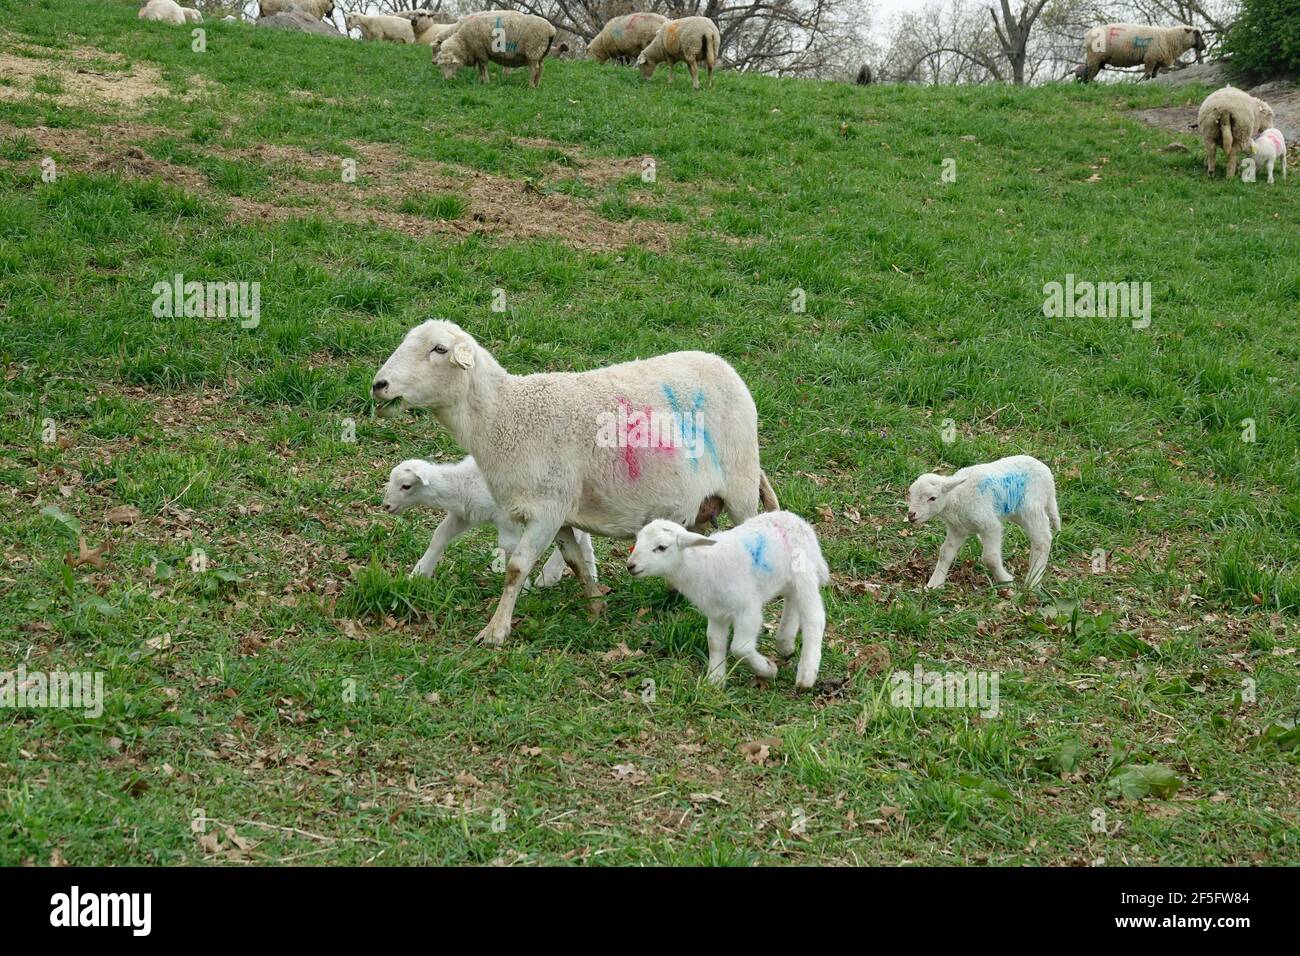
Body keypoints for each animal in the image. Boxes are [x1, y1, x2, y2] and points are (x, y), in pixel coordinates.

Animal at [383, 457, 596, 590]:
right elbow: (439, 536)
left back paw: (549, 575)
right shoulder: (463, 515)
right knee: (583, 537)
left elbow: (509, 545)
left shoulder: (504, 517)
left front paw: (523, 588)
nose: (386, 505)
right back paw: (591, 577)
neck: (463, 484)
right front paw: (418, 573)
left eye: (406, 486)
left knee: (577, 535)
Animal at [627, 512, 829, 690]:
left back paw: (806, 675)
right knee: (792, 601)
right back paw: (785, 644)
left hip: (805, 574)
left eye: (661, 547)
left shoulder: (748, 610)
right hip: (787, 580)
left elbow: (740, 648)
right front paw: (715, 680)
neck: (700, 564)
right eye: (637, 541)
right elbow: (714, 641)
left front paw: (768, 669)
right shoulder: (716, 612)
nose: (630, 565)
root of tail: (798, 520)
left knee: (814, 619)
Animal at [906, 455, 1060, 590]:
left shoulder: (989, 525)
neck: (956, 496)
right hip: (1017, 512)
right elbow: (945, 552)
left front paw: (1006, 581)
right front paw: (934, 584)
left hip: (1031, 506)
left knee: (1043, 539)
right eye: (910, 494)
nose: (911, 515)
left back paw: (1033, 581)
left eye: (932, 498)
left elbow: (989, 558)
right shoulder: (958, 529)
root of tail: (1049, 476)